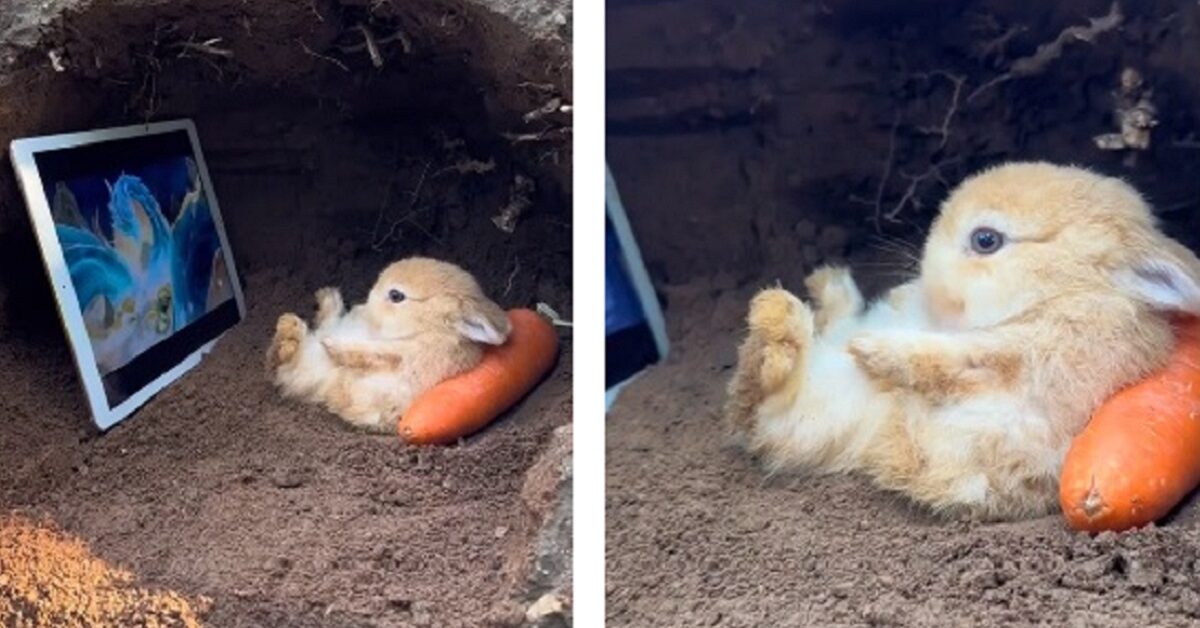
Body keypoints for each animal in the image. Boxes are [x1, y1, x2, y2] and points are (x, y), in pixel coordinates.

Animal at [266, 256, 511, 433]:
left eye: (396, 295)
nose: (362, 308)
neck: (427, 330)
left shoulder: (409, 356)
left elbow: (372, 353)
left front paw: (333, 346)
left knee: (285, 354)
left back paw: (294, 328)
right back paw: (324, 299)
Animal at [726, 161, 1200, 521]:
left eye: (985, 239)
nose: (924, 276)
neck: (1059, 294)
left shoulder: (1033, 356)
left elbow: (954, 360)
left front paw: (873, 350)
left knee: (764, 389)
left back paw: (784, 312)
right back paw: (817, 287)